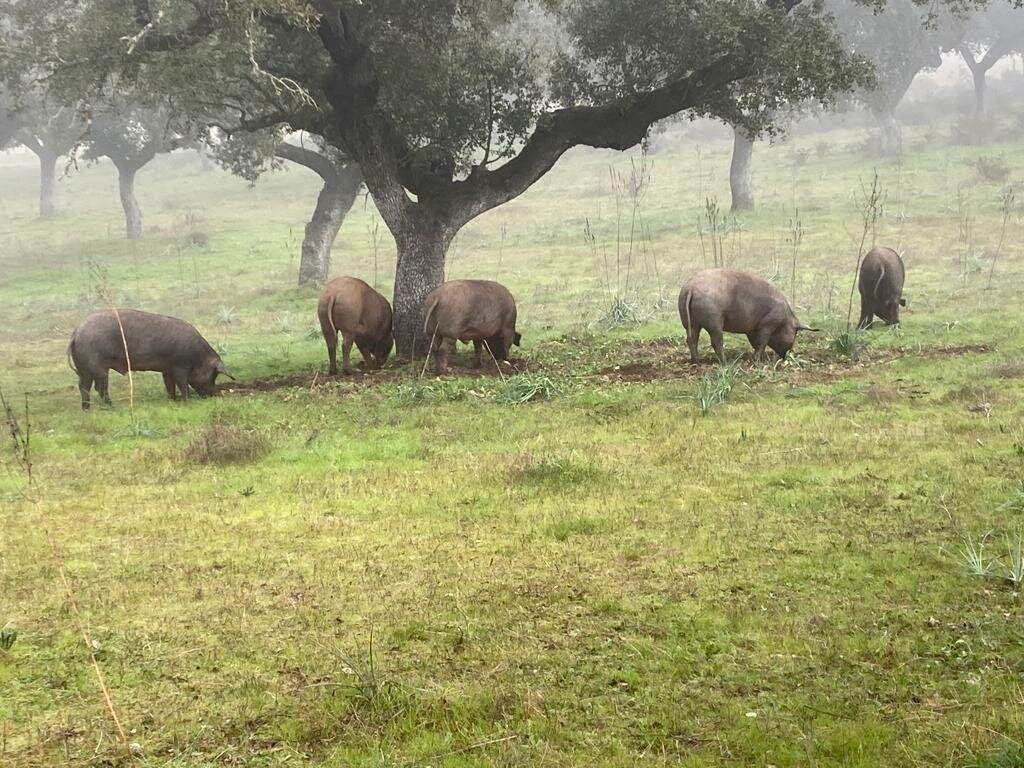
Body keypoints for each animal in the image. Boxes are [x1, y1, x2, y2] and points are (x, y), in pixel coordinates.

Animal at [69, 309, 233, 411]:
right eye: (213, 375)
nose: (212, 395)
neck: (198, 356)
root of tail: (76, 333)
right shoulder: (180, 366)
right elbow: (183, 384)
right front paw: (187, 401)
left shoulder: (167, 369)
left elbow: (169, 385)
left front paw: (173, 400)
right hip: (97, 366)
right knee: (100, 387)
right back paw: (111, 406)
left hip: (84, 369)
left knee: (83, 386)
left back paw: (86, 409)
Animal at [679, 268, 815, 364]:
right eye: (795, 333)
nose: (785, 357)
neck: (784, 320)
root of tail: (691, 287)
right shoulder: (768, 324)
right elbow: (762, 341)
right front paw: (757, 361)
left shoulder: (751, 329)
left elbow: (755, 342)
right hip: (714, 320)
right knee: (716, 341)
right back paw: (726, 362)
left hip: (689, 321)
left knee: (691, 339)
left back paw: (696, 361)